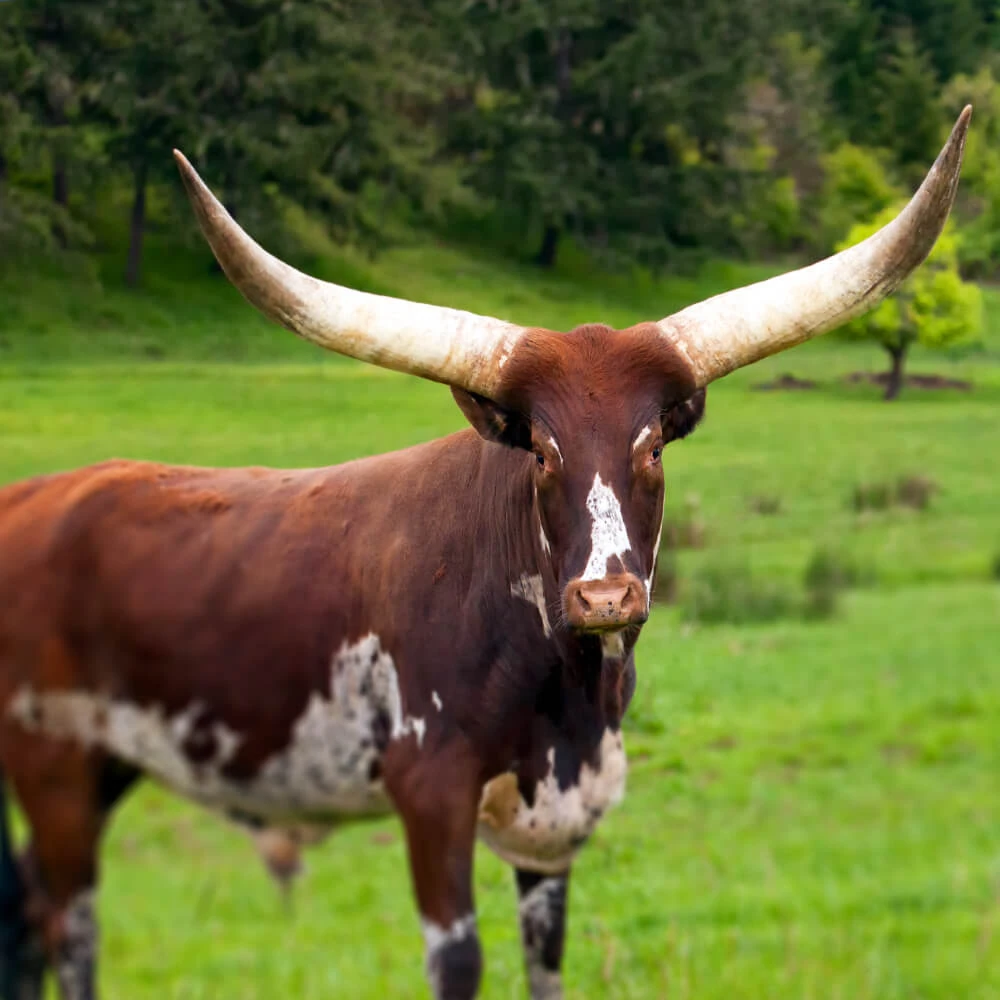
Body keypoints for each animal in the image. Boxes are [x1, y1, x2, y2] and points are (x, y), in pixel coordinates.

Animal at [0, 107, 970, 1000]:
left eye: (653, 445)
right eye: (540, 450)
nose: (605, 598)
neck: (565, 693)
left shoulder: (554, 828)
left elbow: (547, 966)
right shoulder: (430, 793)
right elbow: (458, 963)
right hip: (51, 763)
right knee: (69, 929)